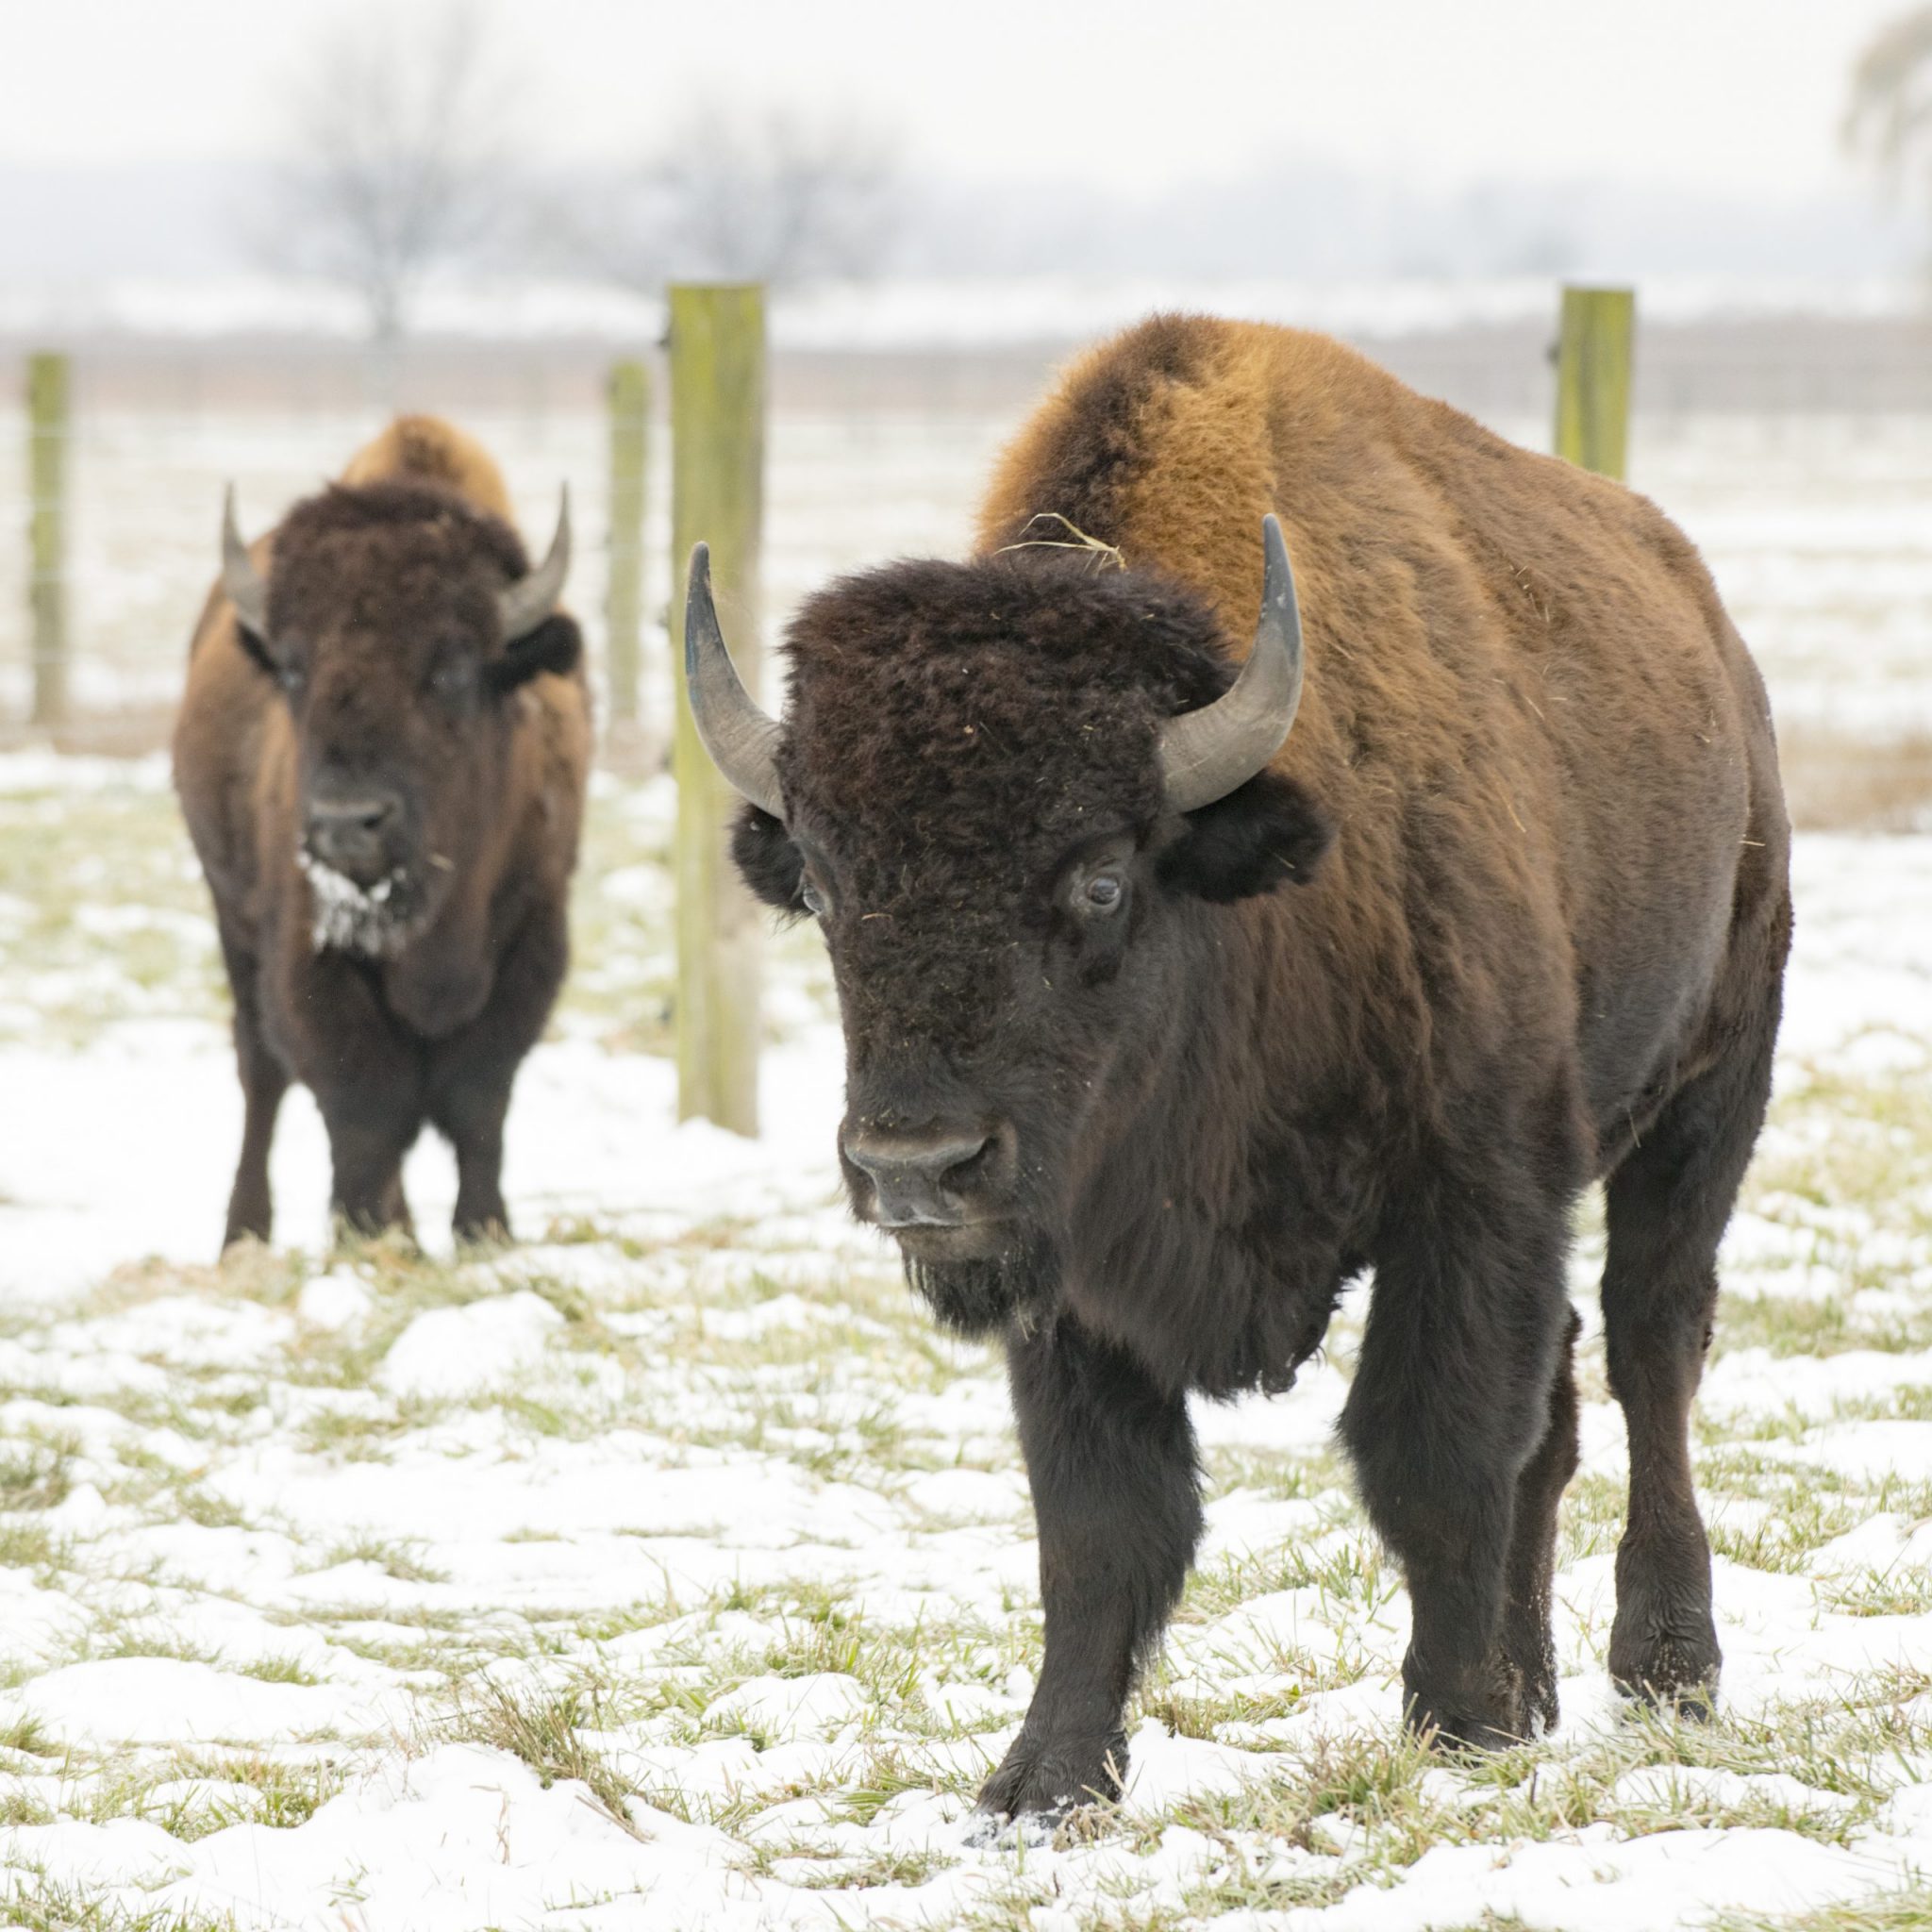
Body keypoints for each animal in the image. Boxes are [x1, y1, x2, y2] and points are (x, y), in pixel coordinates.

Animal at [174, 416, 591, 1250]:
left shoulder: (532, 942)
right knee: (260, 1074)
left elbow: (478, 1099)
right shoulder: (310, 955)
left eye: (454, 671)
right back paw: (245, 1234)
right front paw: (366, 1236)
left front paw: (483, 1231)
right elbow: (365, 1104)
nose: (347, 824)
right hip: (231, 920)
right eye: (294, 669)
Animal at [684, 316, 1792, 1822]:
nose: (916, 1167)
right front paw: (1042, 1780)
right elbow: (1103, 1523)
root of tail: (1713, 638)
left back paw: (1665, 1666)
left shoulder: (1473, 1193)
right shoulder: (1072, 1264)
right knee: (1565, 1397)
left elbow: (1434, 1453)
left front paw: (1454, 1726)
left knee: (1649, 1344)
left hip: (1707, 1092)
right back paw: (1539, 1687)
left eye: (1099, 877)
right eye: (827, 881)